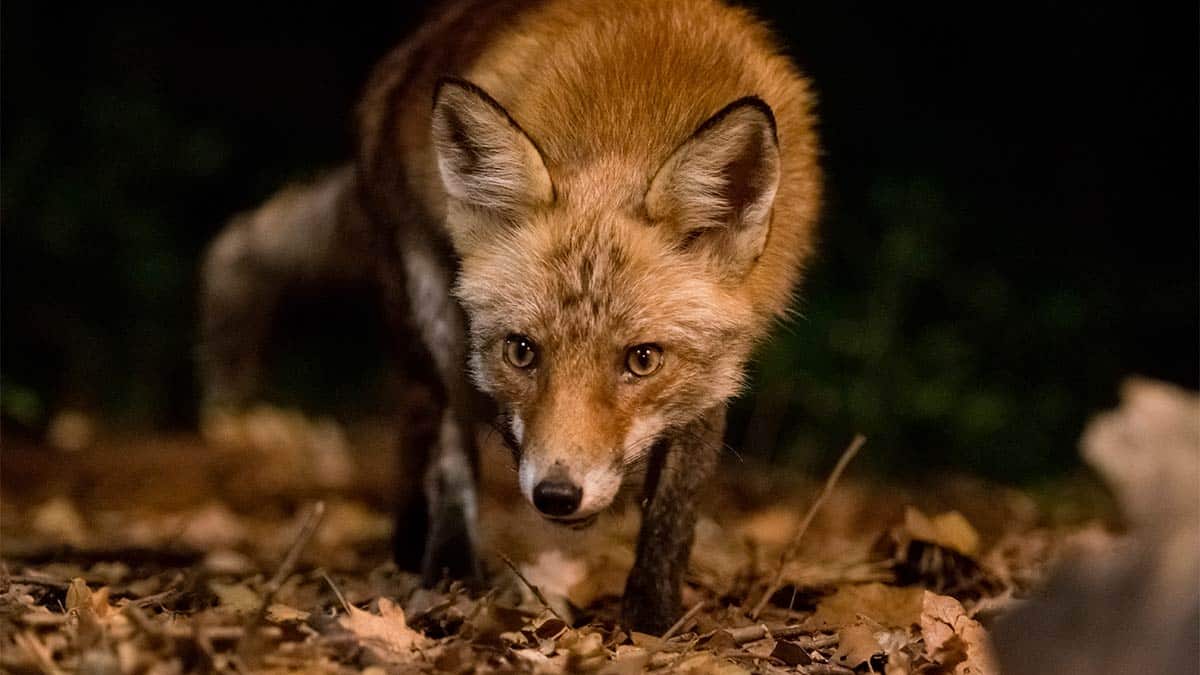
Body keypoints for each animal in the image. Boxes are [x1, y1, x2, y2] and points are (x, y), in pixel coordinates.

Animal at [199, 0, 819, 632]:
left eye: (642, 360)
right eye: (522, 351)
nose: (556, 495)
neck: (634, 120)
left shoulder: (716, 367)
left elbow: (674, 507)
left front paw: (652, 619)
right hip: (432, 304)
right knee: (442, 432)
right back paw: (445, 570)